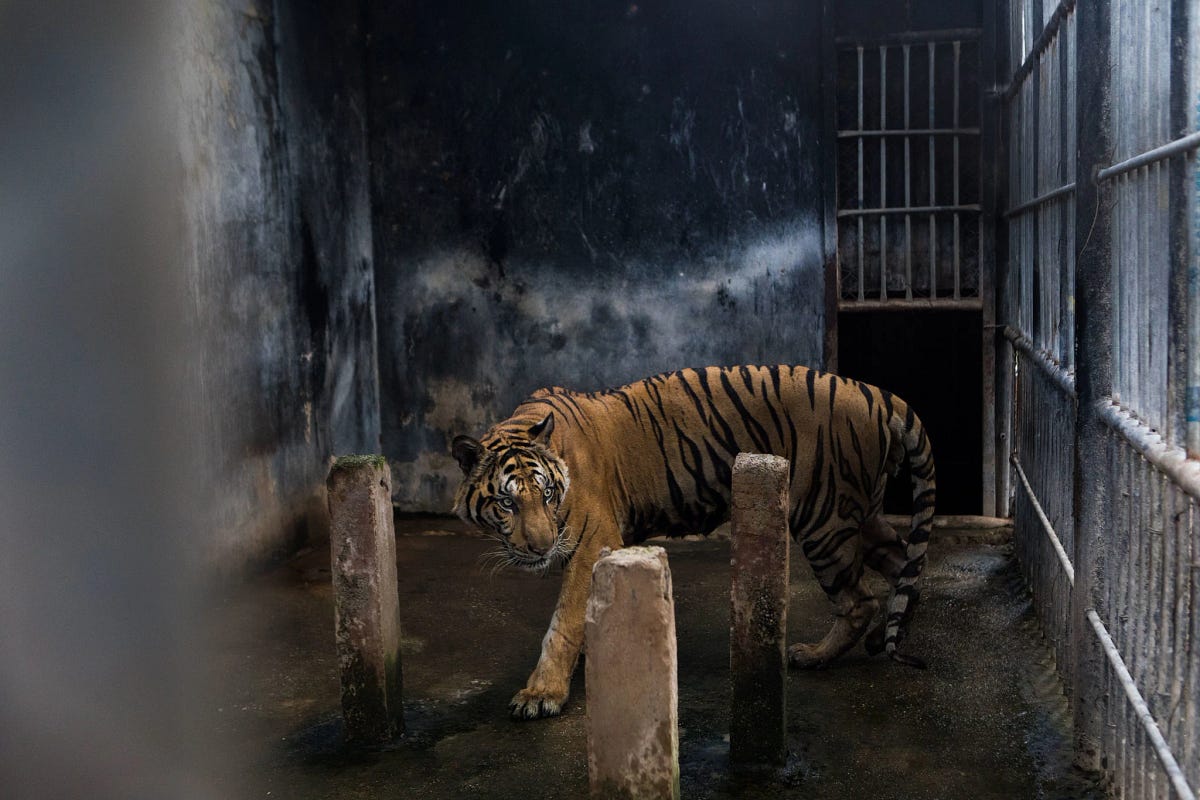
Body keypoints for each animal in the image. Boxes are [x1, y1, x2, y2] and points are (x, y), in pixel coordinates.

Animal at [451, 365, 935, 720]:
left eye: (547, 493)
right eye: (507, 503)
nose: (541, 548)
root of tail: (877, 393)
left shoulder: (590, 540)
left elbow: (563, 622)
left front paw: (541, 694)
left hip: (825, 518)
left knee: (859, 600)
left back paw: (815, 655)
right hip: (862, 515)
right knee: (905, 568)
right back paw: (882, 637)